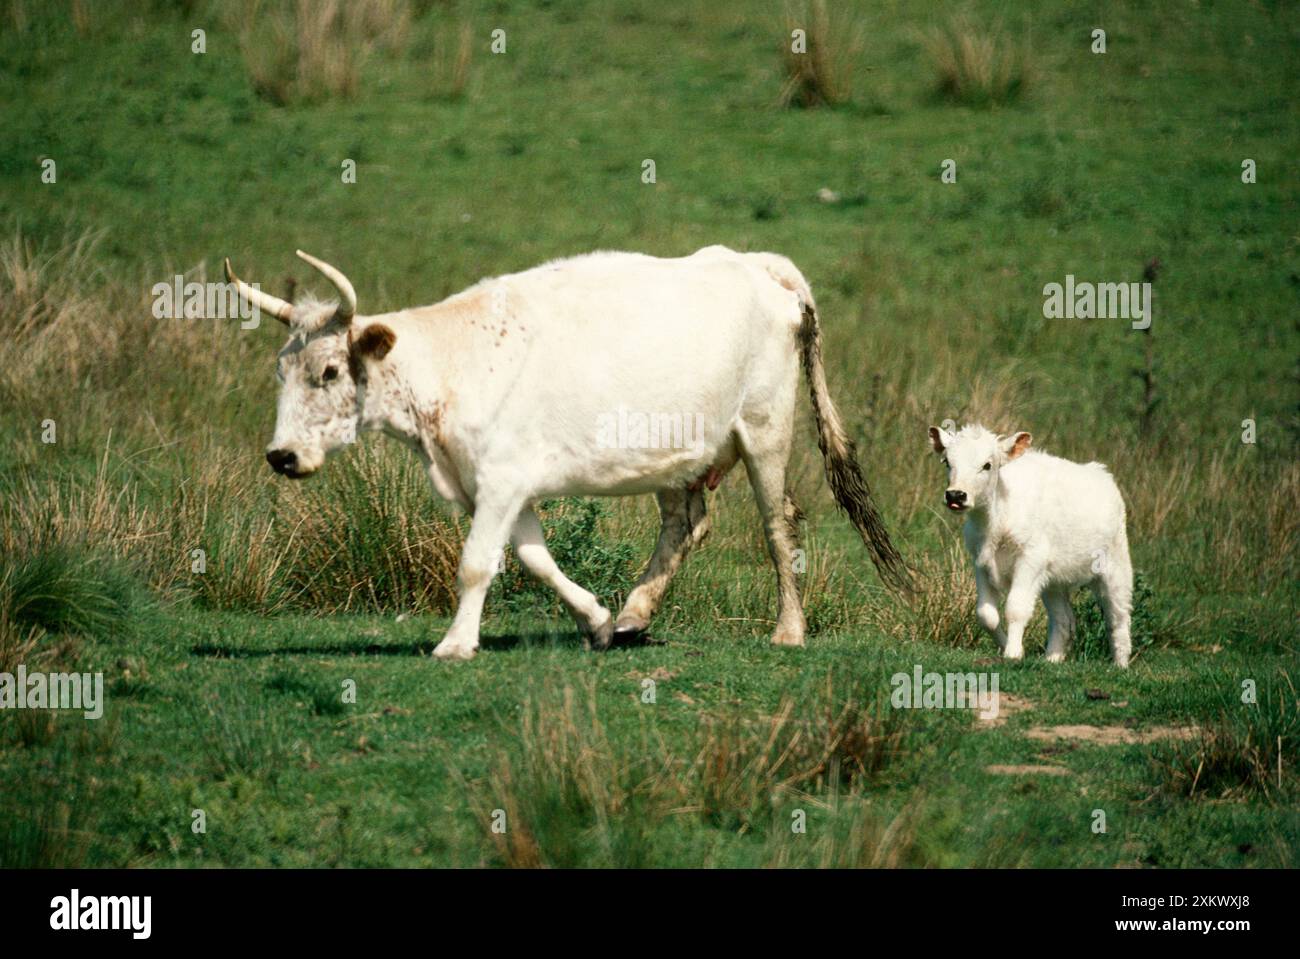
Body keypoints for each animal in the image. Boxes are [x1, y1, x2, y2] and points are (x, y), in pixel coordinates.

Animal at [225, 245, 911, 660]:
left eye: (330, 371)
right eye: (282, 371)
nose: (281, 455)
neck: (450, 367)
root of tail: (754, 263)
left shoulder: (501, 479)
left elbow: (476, 563)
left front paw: (456, 643)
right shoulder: (500, 485)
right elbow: (536, 560)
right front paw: (598, 620)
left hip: (766, 429)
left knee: (777, 525)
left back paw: (788, 630)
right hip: (680, 456)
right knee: (686, 525)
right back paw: (635, 613)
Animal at [927, 423, 1132, 667]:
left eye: (987, 465)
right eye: (947, 462)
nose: (956, 495)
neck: (996, 521)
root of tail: (1100, 471)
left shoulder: (1030, 559)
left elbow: (1015, 609)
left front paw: (1013, 653)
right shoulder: (980, 561)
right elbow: (986, 615)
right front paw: (1005, 646)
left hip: (1116, 565)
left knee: (1118, 618)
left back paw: (1120, 665)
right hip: (1053, 580)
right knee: (1064, 619)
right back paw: (1052, 660)